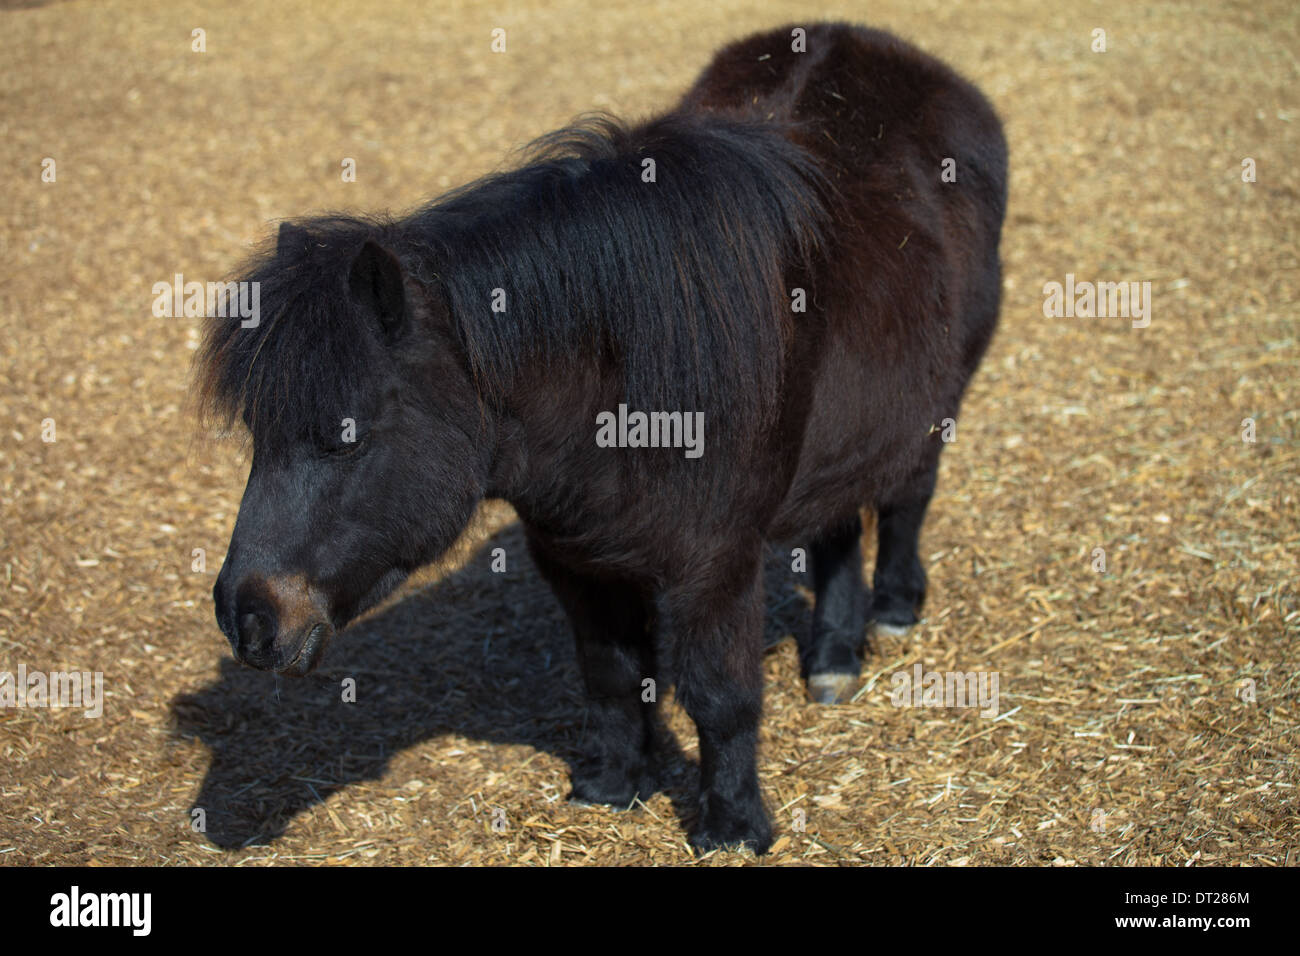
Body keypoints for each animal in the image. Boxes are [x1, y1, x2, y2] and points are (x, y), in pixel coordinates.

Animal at [195, 21, 1008, 853]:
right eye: (258, 434)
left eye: (348, 437)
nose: (248, 617)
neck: (619, 380)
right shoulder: (578, 561)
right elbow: (613, 678)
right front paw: (615, 787)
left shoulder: (716, 566)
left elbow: (721, 696)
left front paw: (733, 826)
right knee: (839, 520)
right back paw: (835, 655)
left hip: (936, 406)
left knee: (907, 500)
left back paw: (893, 611)